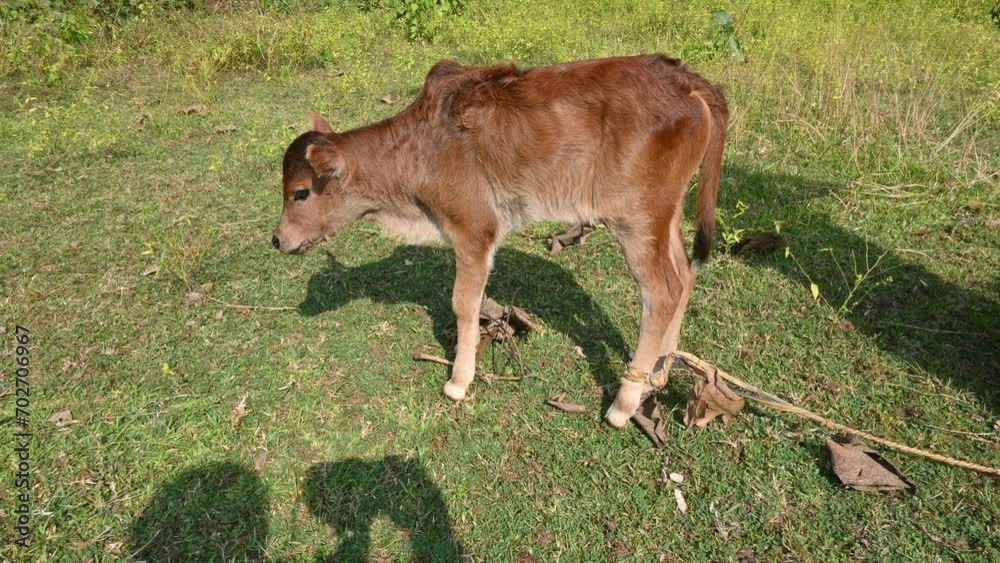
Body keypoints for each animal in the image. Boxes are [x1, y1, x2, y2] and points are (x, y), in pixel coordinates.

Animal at [272, 54, 727, 427]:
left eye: (301, 193)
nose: (278, 239)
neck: (417, 152)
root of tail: (686, 80)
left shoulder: (475, 229)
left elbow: (463, 304)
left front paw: (459, 380)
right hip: (664, 213)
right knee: (684, 274)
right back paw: (659, 372)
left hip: (635, 217)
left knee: (662, 292)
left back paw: (625, 402)